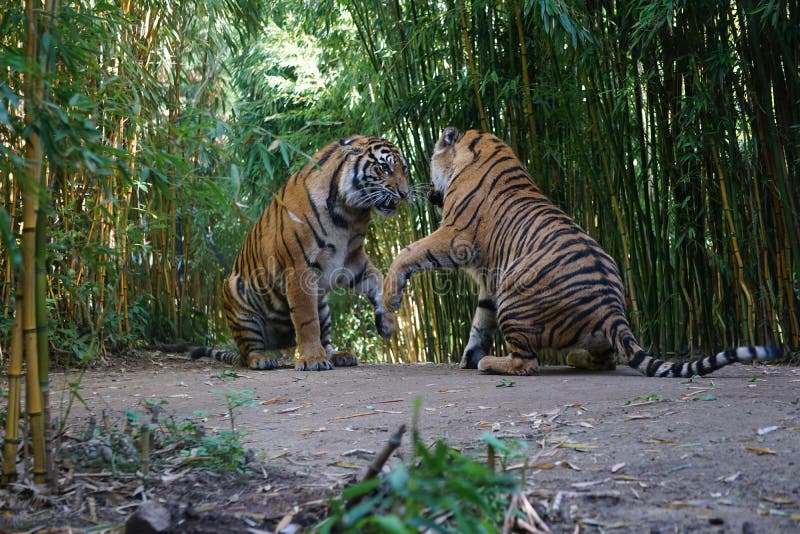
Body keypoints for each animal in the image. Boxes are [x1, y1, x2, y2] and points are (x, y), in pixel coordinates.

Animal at [192, 135, 409, 371]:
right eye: (385, 167)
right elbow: (307, 320)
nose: (405, 193)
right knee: (249, 351)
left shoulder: (351, 262)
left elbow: (379, 278)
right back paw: (263, 359)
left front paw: (387, 322)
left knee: (325, 338)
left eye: (405, 169)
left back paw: (339, 355)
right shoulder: (300, 268)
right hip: (238, 298)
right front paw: (313, 359)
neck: (349, 214)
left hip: (324, 306)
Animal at [382, 126, 782, 377]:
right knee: (605, 358)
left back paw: (492, 363)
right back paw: (574, 356)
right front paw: (468, 356)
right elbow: (481, 318)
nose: (427, 192)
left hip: (515, 293)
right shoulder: (488, 276)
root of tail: (611, 305)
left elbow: (408, 251)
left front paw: (390, 297)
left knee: (528, 363)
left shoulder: (456, 237)